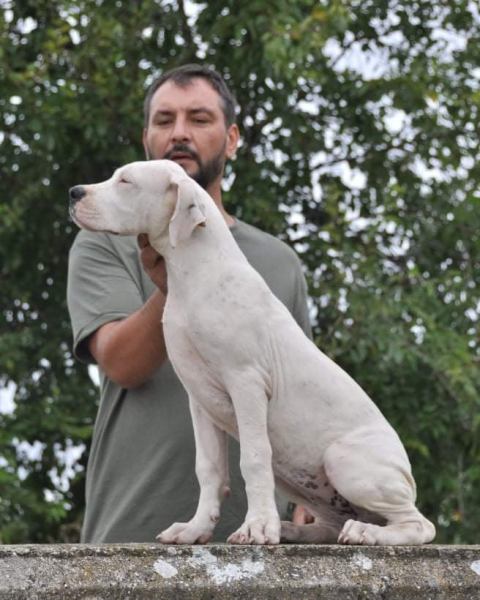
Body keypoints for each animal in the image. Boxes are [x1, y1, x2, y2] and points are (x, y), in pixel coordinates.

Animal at [70, 158, 436, 544]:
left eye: (126, 181)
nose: (74, 193)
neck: (196, 275)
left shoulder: (246, 382)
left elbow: (254, 458)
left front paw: (258, 526)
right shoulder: (199, 398)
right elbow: (209, 468)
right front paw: (195, 529)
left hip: (345, 461)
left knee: (418, 524)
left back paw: (366, 533)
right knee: (335, 523)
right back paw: (295, 530)